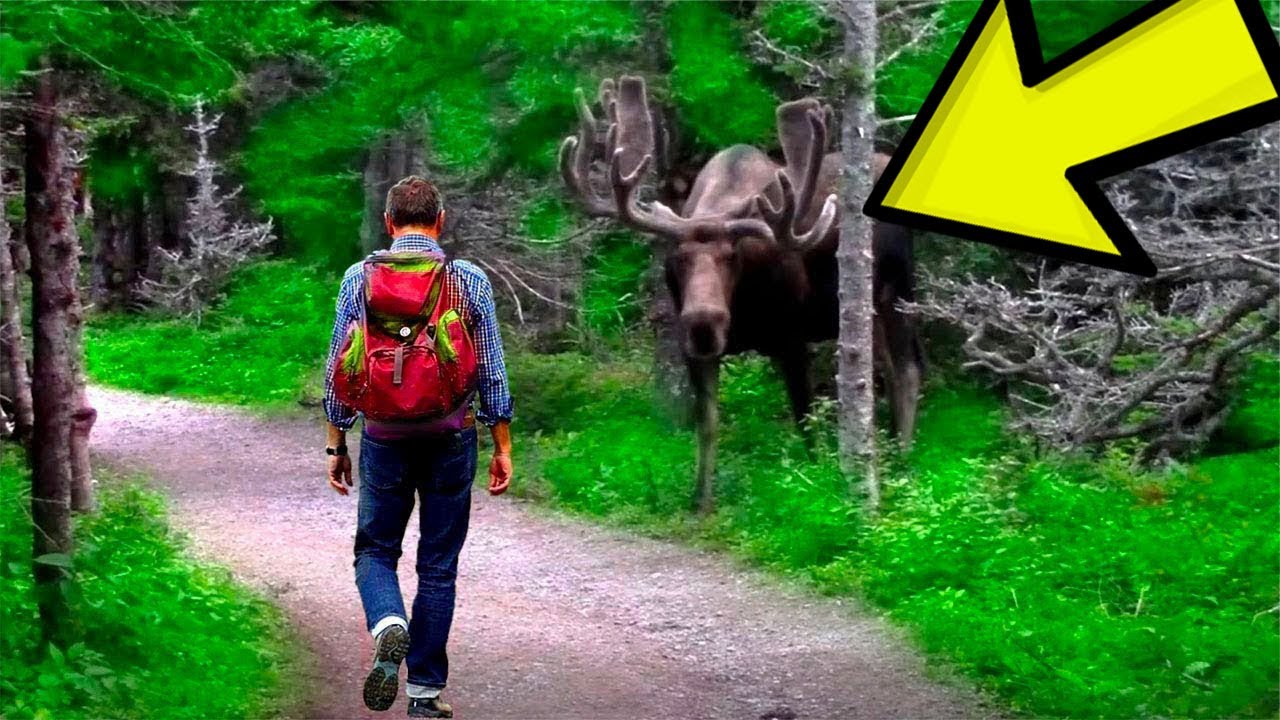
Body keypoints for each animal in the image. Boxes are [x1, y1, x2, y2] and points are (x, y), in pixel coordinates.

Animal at [560, 76, 923, 514]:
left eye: (731, 257)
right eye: (676, 258)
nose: (704, 322)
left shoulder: (791, 338)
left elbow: (805, 422)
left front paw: (814, 486)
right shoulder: (693, 351)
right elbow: (707, 423)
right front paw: (701, 499)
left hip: (894, 291)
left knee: (908, 371)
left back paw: (903, 463)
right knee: (891, 370)